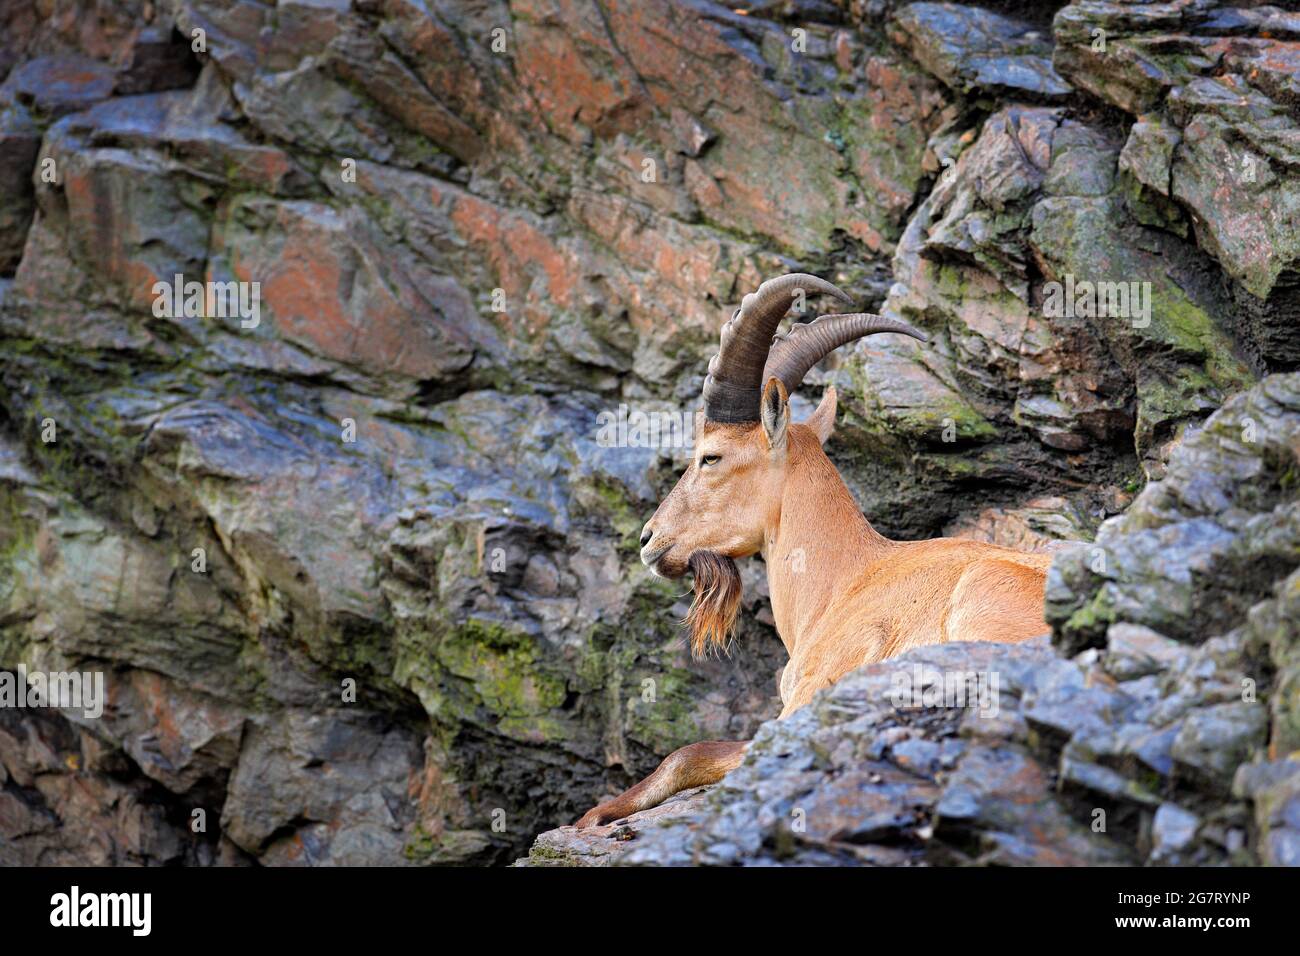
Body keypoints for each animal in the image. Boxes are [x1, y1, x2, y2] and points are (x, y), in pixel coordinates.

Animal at [575, 274, 1052, 828]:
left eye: (710, 457)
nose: (649, 539)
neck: (843, 580)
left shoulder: (806, 699)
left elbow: (689, 755)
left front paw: (595, 814)